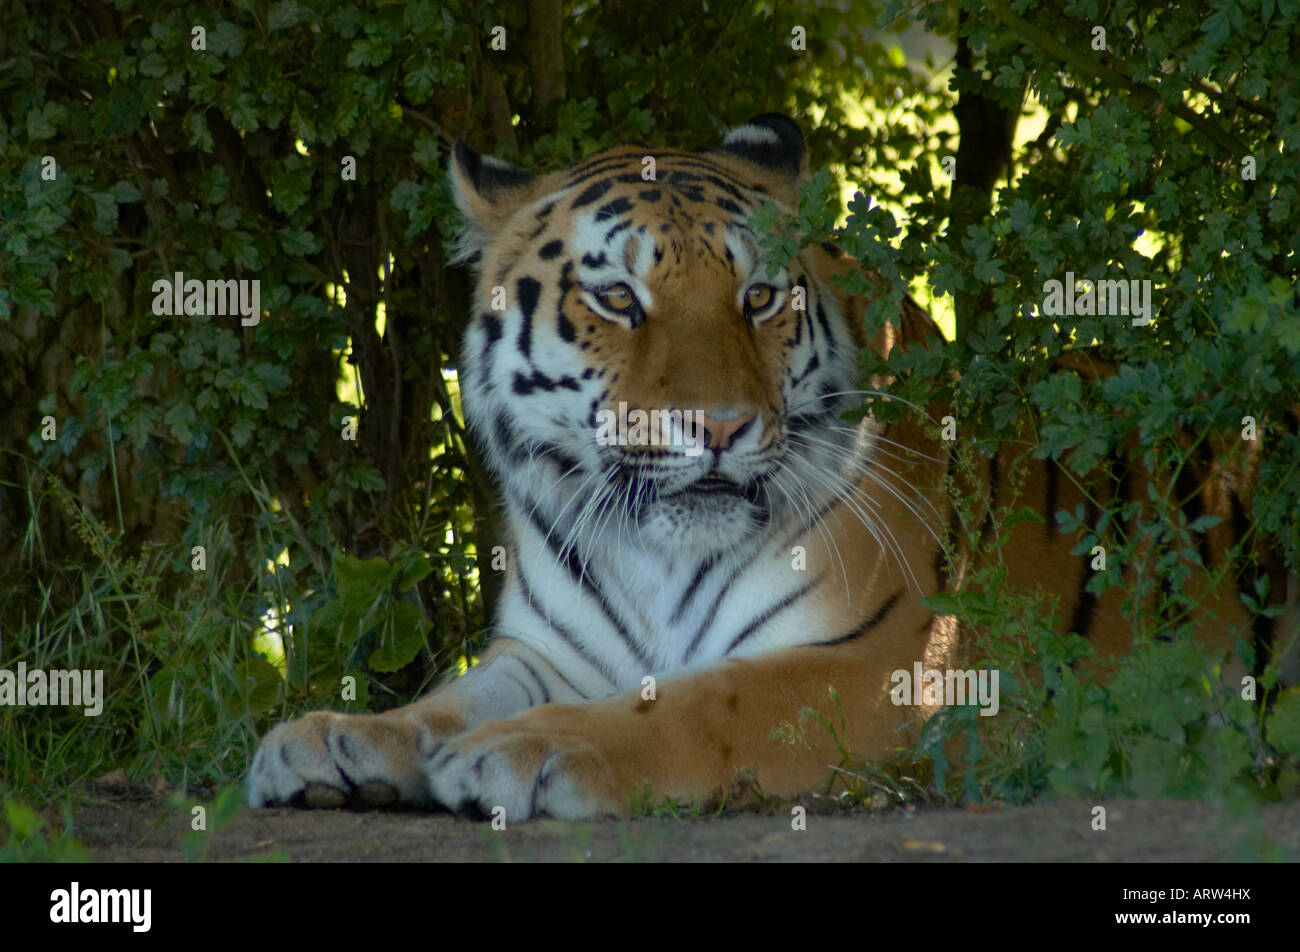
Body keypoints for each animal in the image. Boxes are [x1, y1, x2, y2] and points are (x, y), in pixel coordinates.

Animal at [246, 114, 1299, 818]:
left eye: (758, 297)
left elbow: (696, 702)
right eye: (619, 298)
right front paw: (333, 739)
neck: (648, 555)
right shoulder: (547, 651)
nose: (717, 426)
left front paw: (522, 751)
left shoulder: (889, 664)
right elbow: (445, 702)